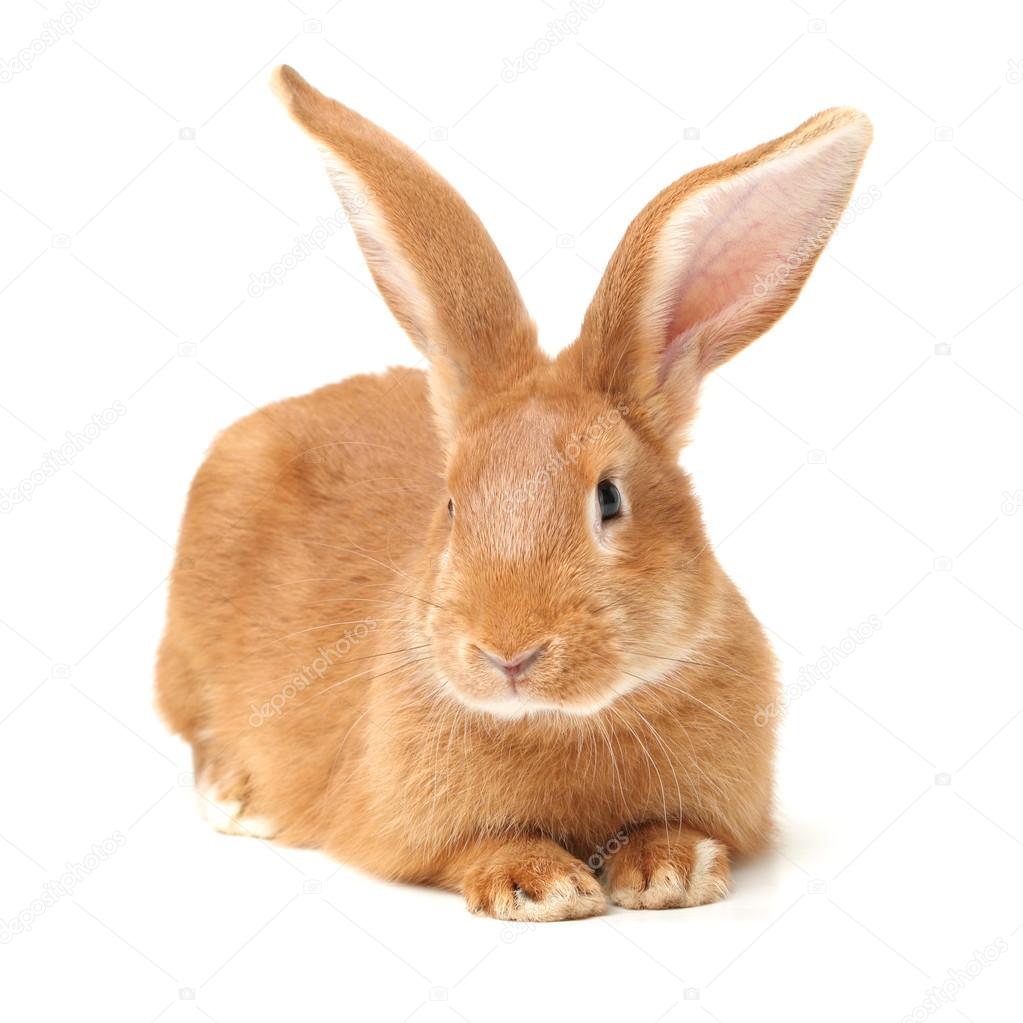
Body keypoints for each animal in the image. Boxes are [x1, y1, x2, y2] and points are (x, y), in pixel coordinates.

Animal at [156, 64, 871, 921]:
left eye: (608, 498)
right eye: (451, 505)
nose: (508, 653)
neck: (561, 721)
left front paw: (671, 871)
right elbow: (473, 846)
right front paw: (541, 885)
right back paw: (240, 798)